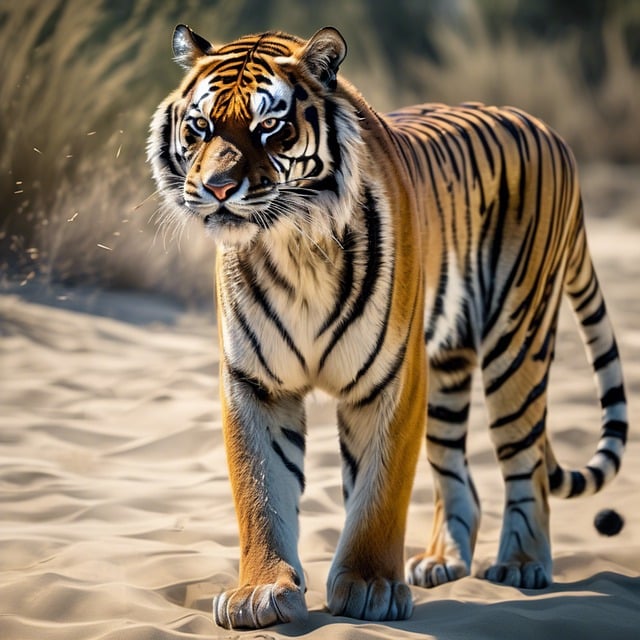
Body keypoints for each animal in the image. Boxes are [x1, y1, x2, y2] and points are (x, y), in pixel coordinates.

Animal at [147, 25, 628, 629]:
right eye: (200, 127)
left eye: (270, 127)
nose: (215, 188)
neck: (293, 245)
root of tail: (547, 129)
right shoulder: (256, 382)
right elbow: (259, 489)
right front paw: (260, 592)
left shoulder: (394, 377)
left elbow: (379, 491)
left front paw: (369, 587)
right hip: (449, 363)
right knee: (460, 477)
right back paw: (442, 560)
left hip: (516, 342)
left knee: (528, 465)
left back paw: (520, 565)